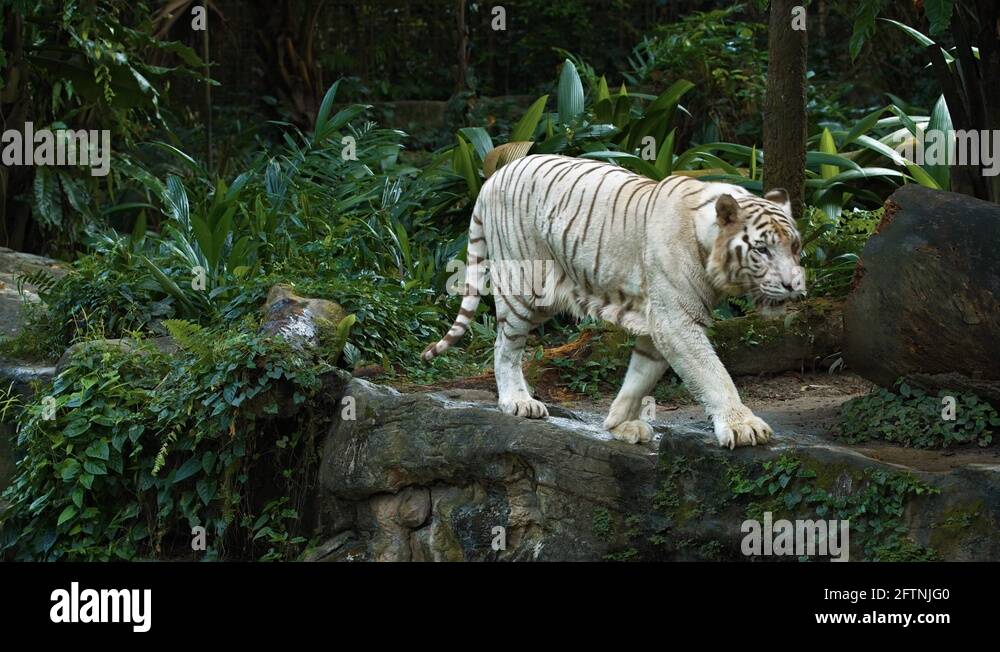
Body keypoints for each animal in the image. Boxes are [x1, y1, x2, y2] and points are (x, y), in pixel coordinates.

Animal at [422, 154, 806, 449]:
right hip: (524, 287)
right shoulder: (677, 321)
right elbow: (713, 374)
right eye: (762, 249)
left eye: (795, 247)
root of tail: (494, 176)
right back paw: (518, 401)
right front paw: (743, 427)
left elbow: (639, 377)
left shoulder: (657, 324)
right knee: (504, 346)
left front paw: (619, 424)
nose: (794, 285)